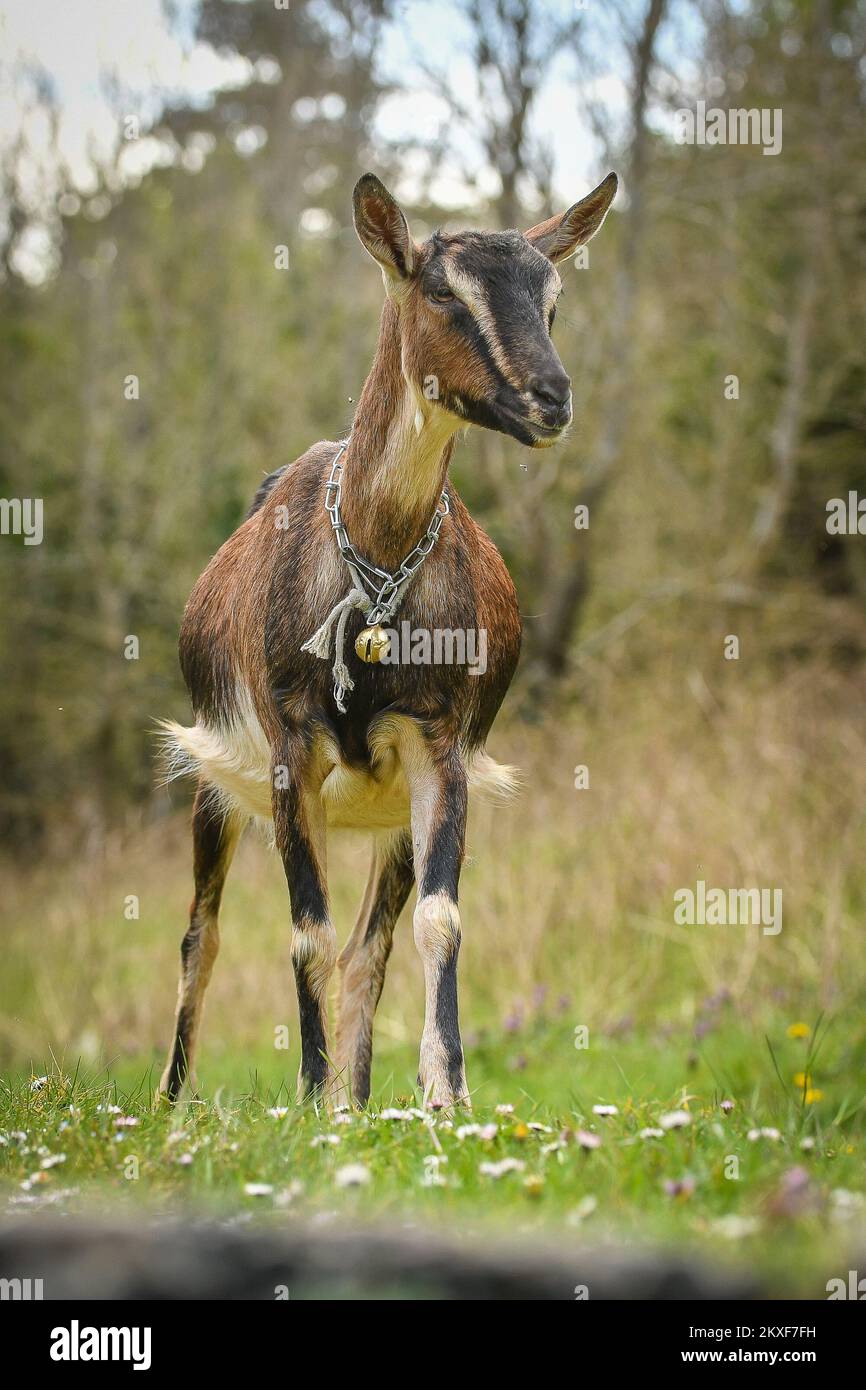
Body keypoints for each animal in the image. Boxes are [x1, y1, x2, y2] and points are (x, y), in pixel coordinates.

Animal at [160, 170, 618, 1108]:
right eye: (441, 290)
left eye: (552, 299)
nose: (552, 398)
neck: (370, 563)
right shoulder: (291, 748)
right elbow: (304, 931)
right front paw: (307, 1096)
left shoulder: (437, 746)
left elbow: (435, 923)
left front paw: (443, 1095)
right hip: (216, 784)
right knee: (202, 935)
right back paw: (175, 1102)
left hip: (382, 811)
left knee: (366, 945)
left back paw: (357, 1100)